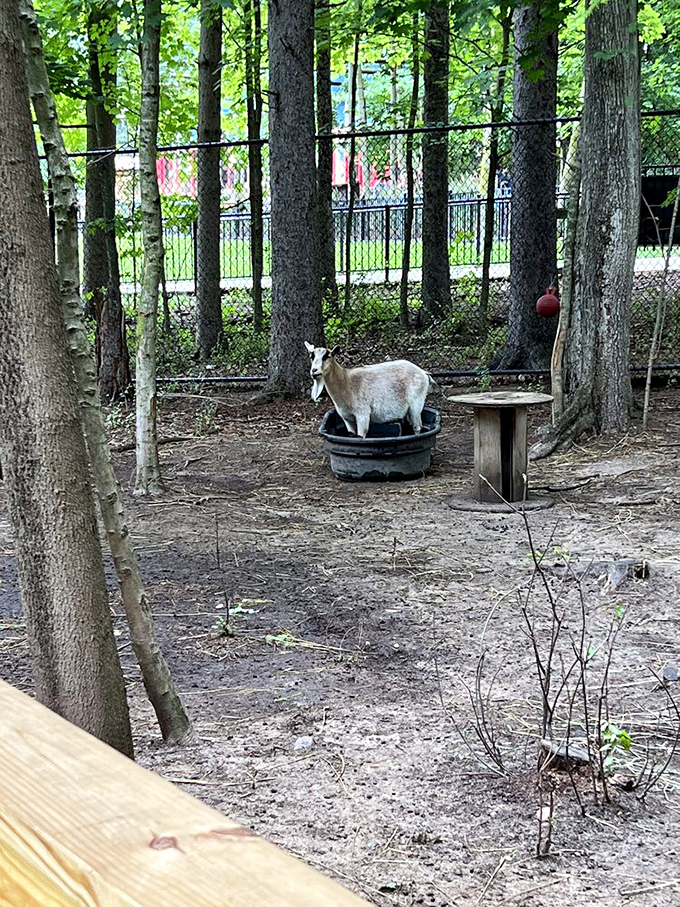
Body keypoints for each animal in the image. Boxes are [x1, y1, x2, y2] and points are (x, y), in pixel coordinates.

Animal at [305, 342, 436, 438]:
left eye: (327, 356)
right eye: (312, 356)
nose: (314, 371)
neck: (346, 382)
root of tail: (424, 373)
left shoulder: (362, 414)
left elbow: (361, 436)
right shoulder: (347, 419)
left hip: (416, 404)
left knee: (417, 427)